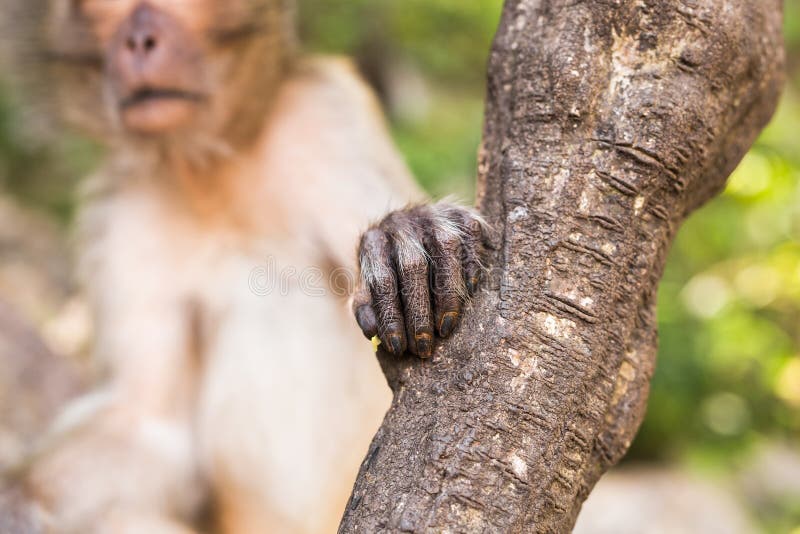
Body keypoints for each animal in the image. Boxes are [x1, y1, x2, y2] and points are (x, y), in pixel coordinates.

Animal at [2, 1, 485, 533]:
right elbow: (149, 425)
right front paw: (18, 499)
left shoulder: (325, 118)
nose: (138, 41)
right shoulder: (121, 208)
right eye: (105, 9)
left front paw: (408, 231)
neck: (210, 168)